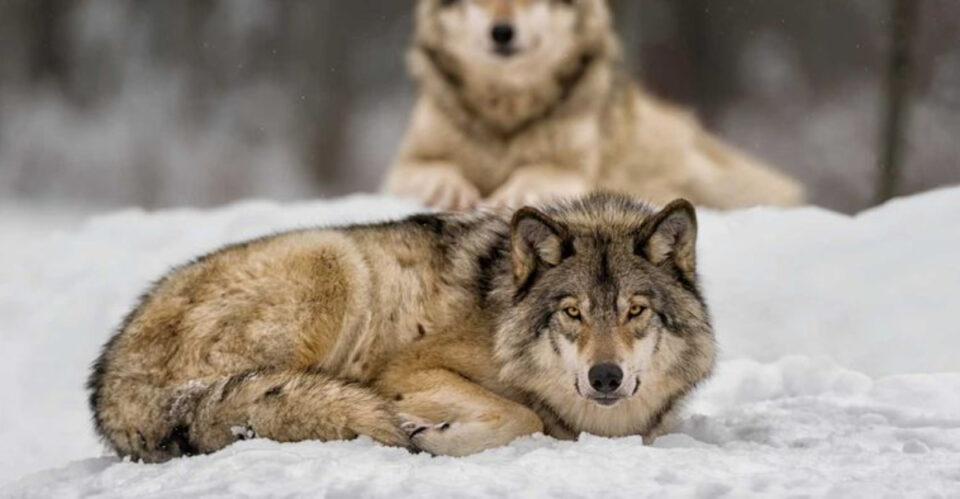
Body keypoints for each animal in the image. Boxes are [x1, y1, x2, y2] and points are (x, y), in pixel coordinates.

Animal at [88, 194, 715, 461]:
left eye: (635, 311)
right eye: (573, 312)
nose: (606, 376)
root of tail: (109, 383)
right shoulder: (410, 366)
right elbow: (523, 415)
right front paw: (430, 434)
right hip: (334, 262)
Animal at [385, 0, 803, 210]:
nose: (501, 32)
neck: (506, 111)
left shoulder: (575, 170)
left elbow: (537, 172)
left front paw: (515, 193)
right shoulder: (402, 166)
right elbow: (433, 168)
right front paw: (450, 190)